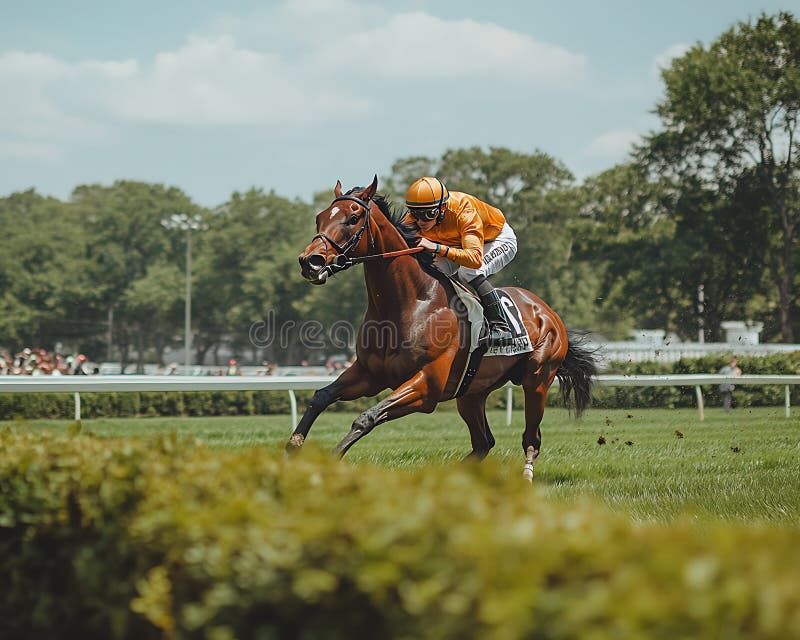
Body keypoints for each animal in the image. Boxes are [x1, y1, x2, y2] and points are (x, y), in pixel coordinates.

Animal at [291, 175, 596, 481]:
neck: (411, 302)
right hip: (472, 392)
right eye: (320, 218)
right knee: (484, 442)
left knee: (531, 439)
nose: (310, 262)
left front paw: (329, 463)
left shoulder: (427, 386)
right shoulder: (369, 374)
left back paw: (525, 477)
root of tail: (548, 311)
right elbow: (321, 397)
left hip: (537, 380)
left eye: (353, 219)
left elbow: (366, 417)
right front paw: (292, 447)